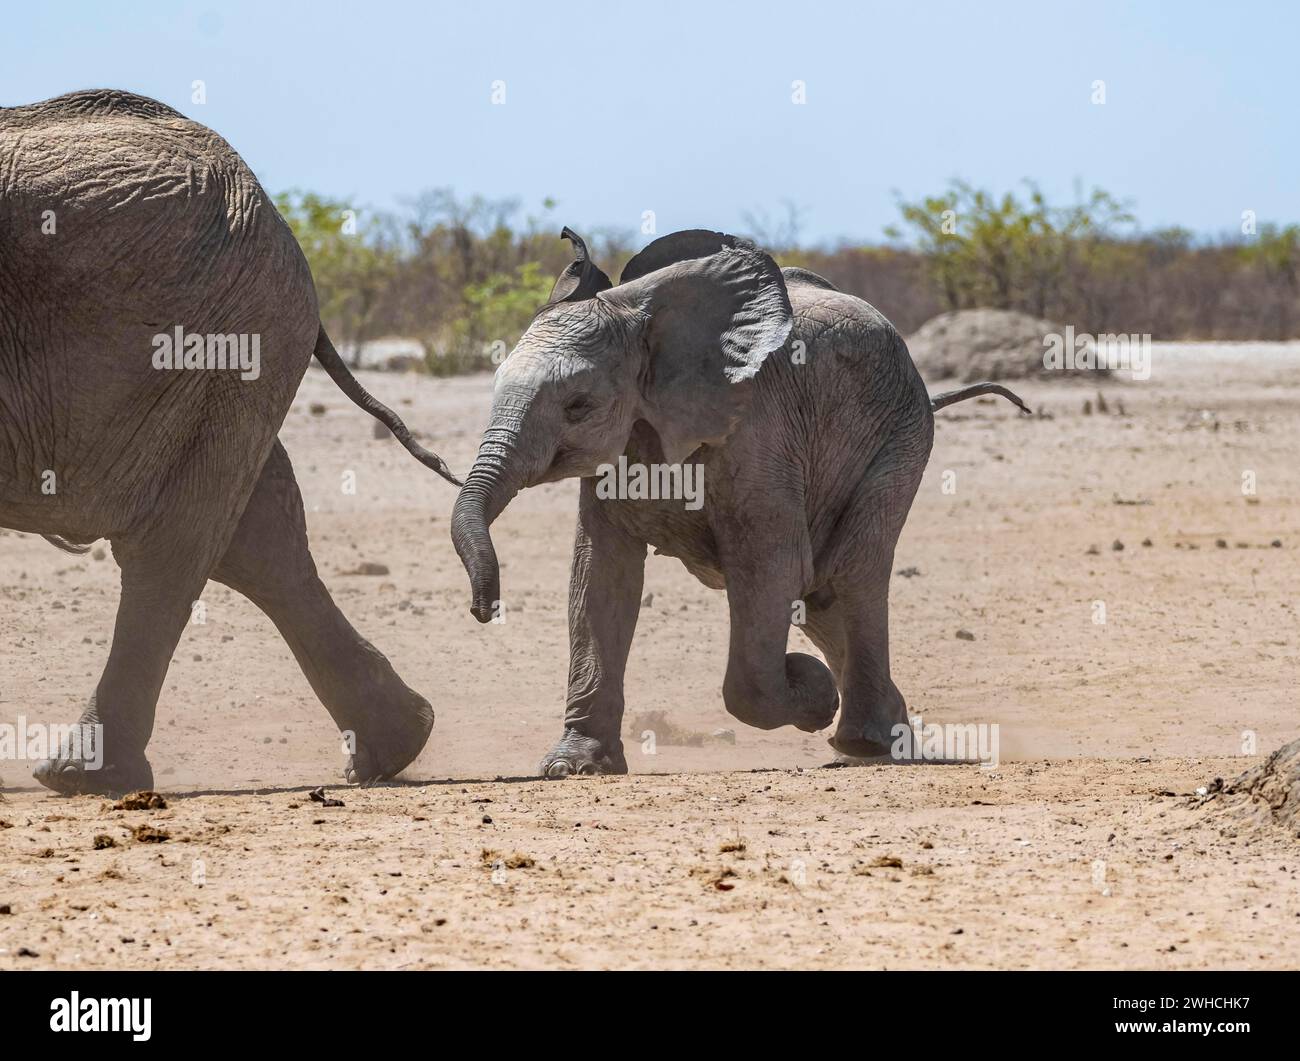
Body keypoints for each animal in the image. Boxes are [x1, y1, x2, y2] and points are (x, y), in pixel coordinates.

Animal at [451, 228, 1028, 776]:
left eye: (577, 405)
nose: (483, 609)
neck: (643, 326)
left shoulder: (759, 433)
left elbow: (771, 568)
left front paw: (812, 689)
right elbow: (600, 578)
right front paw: (574, 767)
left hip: (900, 436)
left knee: (848, 572)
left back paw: (859, 739)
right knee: (821, 595)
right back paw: (886, 740)